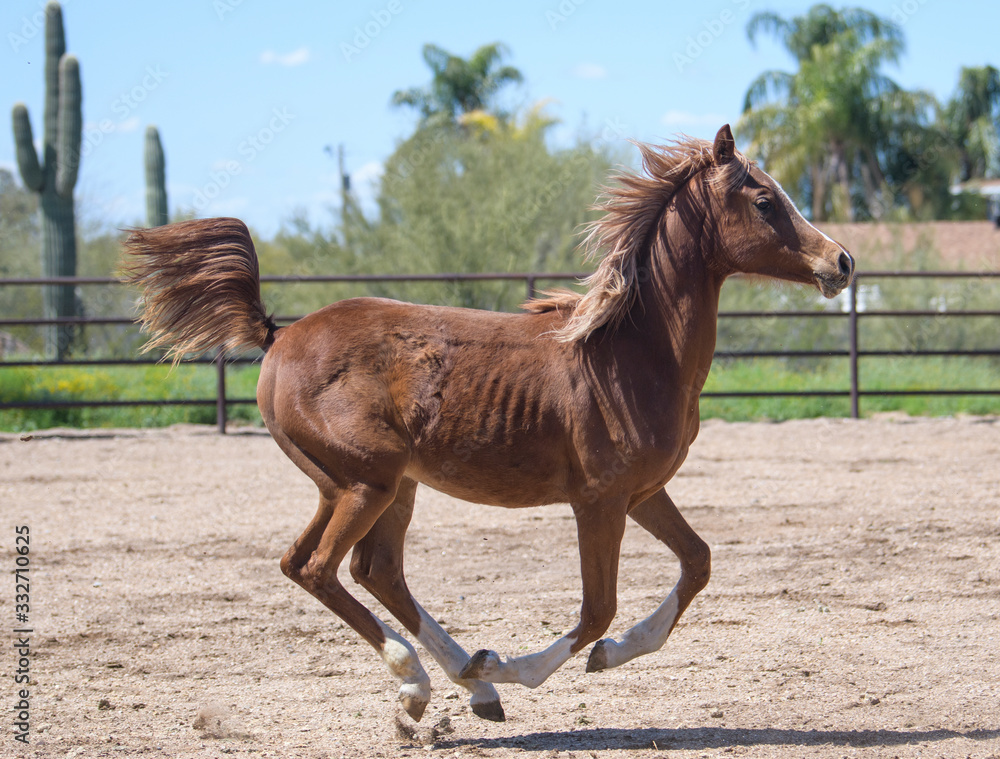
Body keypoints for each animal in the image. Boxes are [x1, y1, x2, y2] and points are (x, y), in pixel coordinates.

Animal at [121, 124, 854, 724]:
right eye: (765, 201)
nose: (841, 261)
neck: (629, 352)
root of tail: (280, 334)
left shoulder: (642, 493)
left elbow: (696, 563)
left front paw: (603, 655)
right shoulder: (600, 500)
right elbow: (597, 608)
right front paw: (523, 666)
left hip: (368, 486)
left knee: (359, 568)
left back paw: (468, 685)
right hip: (367, 483)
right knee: (325, 568)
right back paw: (425, 682)